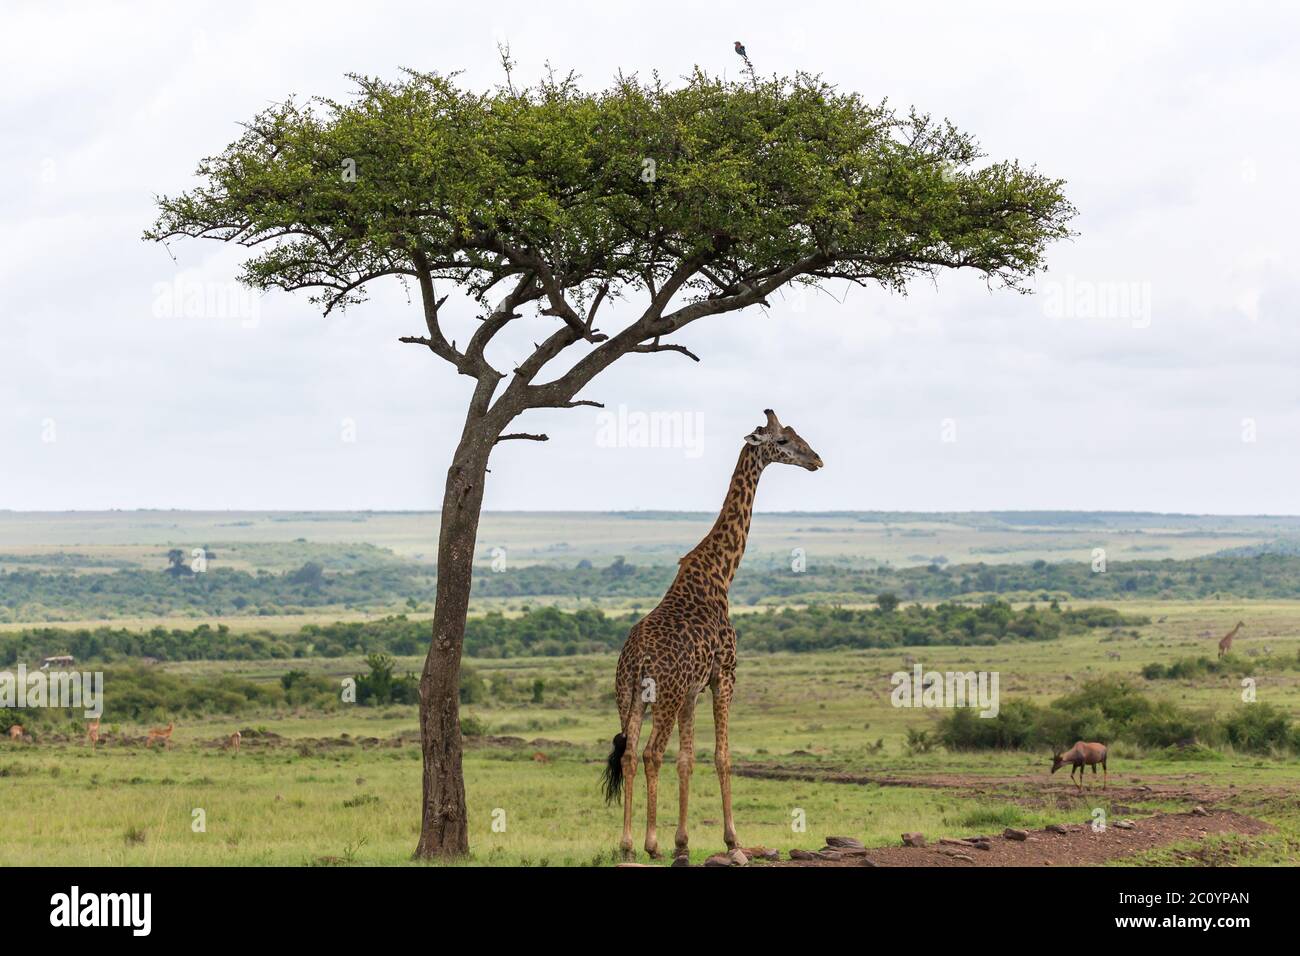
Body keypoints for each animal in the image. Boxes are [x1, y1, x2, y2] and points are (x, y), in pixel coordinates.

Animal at [601, 409, 823, 861]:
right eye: (784, 442)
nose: (816, 460)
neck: (720, 573)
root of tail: (638, 659)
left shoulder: (691, 690)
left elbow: (687, 759)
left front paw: (682, 841)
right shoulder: (725, 675)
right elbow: (722, 755)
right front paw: (732, 839)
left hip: (627, 694)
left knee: (630, 754)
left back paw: (628, 845)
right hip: (663, 696)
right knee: (651, 752)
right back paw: (649, 844)